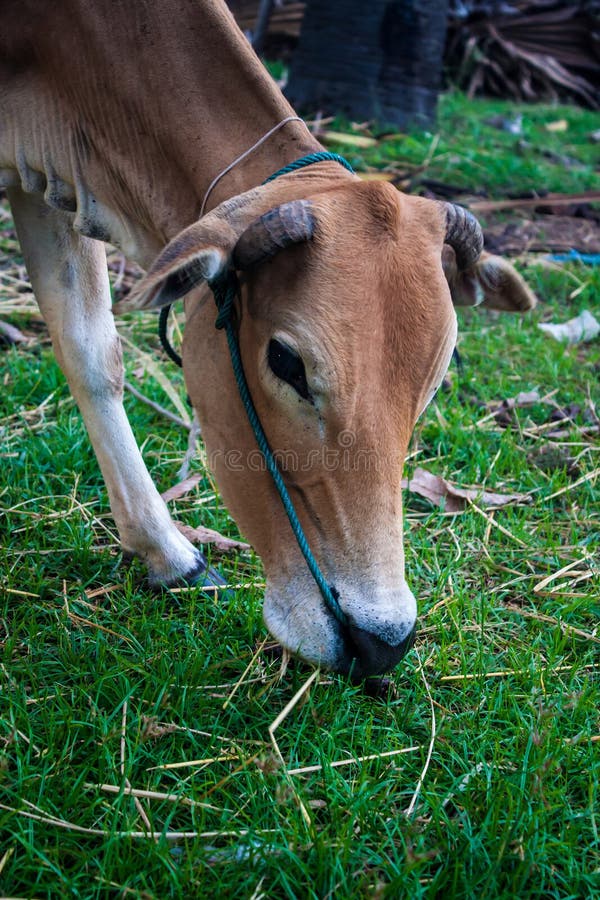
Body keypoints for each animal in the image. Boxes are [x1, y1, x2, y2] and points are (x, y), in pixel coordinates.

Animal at [0, 0, 535, 679]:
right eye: (287, 362)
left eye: (436, 380)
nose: (383, 643)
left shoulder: (44, 182)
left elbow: (93, 353)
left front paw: (166, 555)